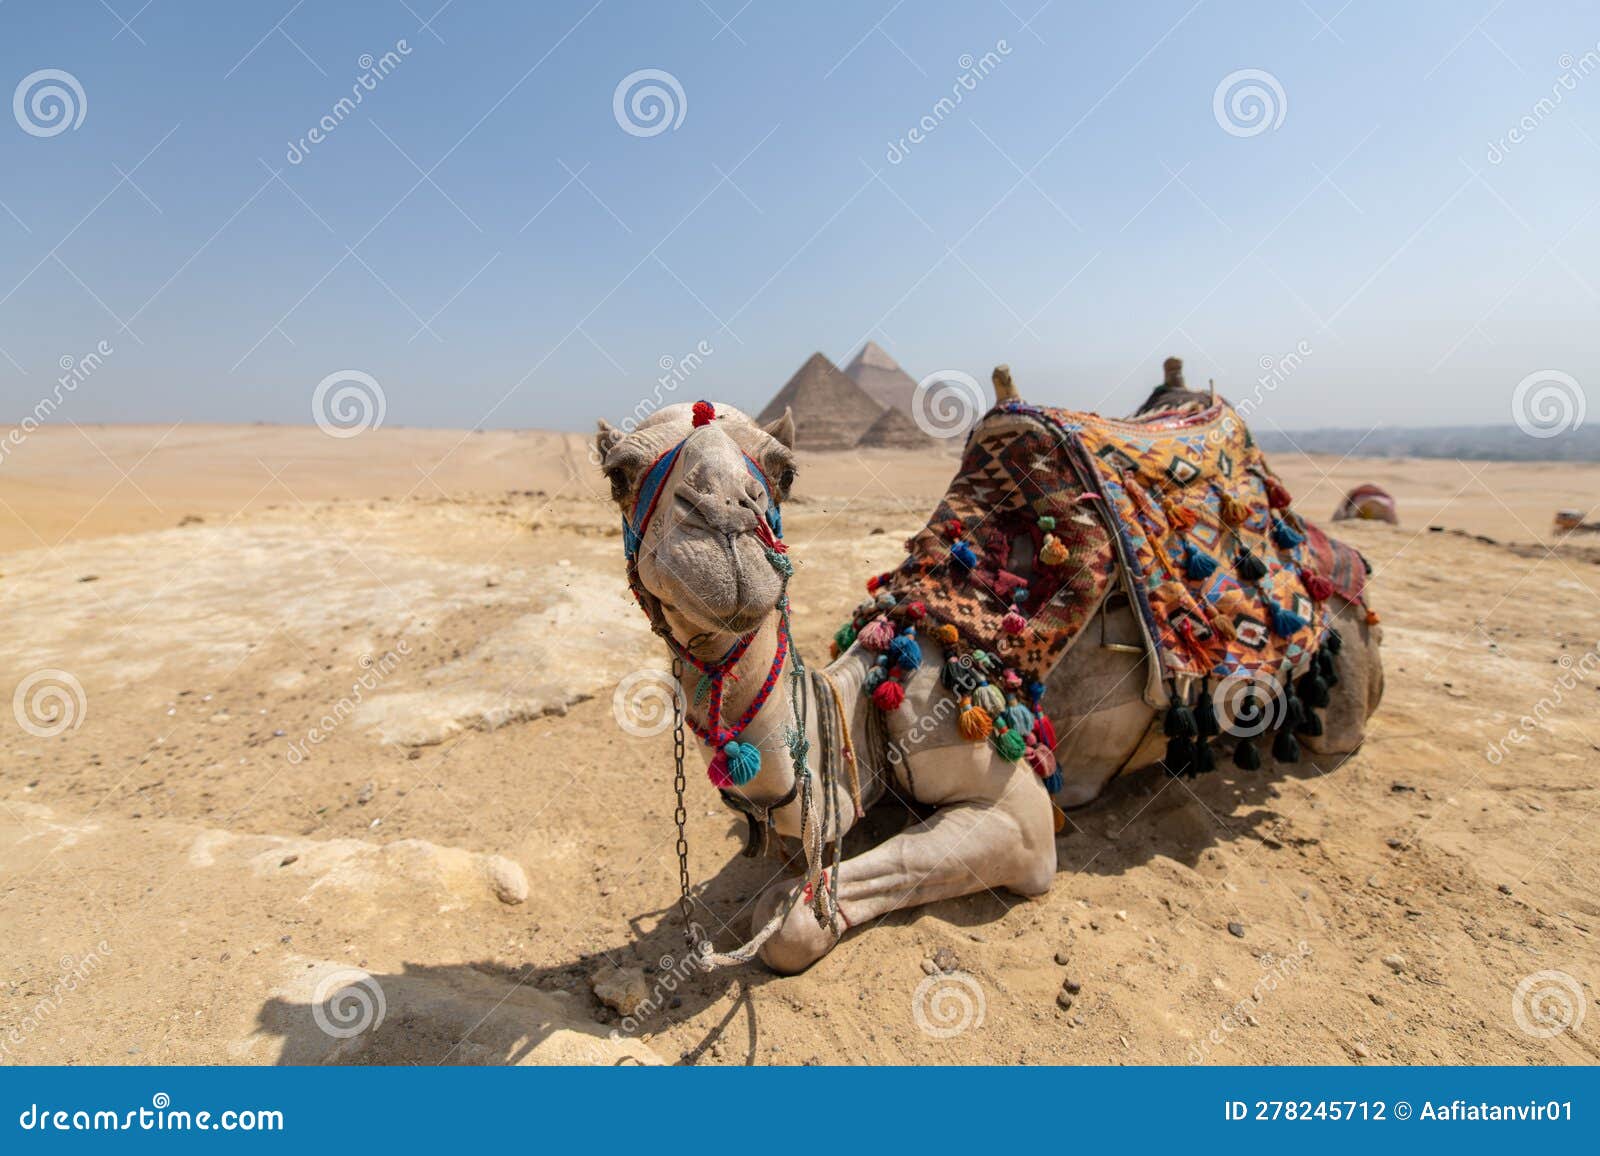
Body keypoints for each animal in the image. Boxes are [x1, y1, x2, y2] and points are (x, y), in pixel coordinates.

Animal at [596, 382, 1384, 975]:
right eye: (619, 474)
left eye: (785, 467)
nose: (722, 524)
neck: (868, 698)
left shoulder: (1020, 819)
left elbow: (789, 921)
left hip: (1338, 684)